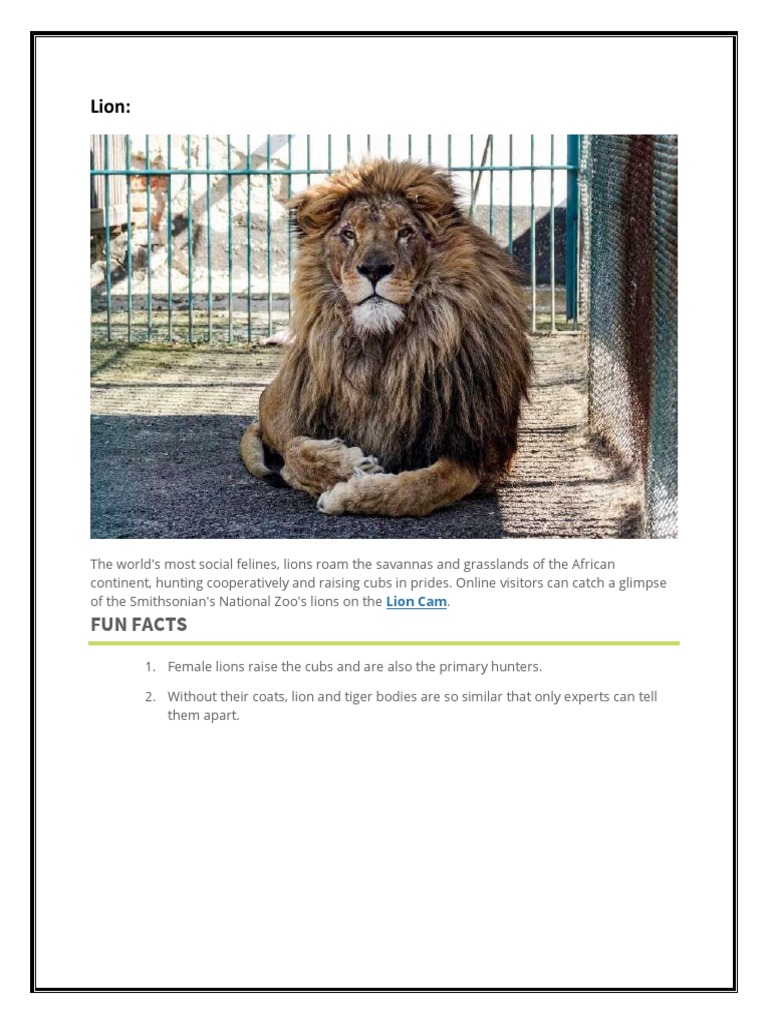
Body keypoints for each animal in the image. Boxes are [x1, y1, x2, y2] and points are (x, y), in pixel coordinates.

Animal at [240, 159, 532, 517]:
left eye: (405, 232)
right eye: (348, 234)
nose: (374, 268)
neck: (385, 347)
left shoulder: (478, 452)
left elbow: (418, 489)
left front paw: (346, 495)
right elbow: (295, 453)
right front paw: (351, 466)